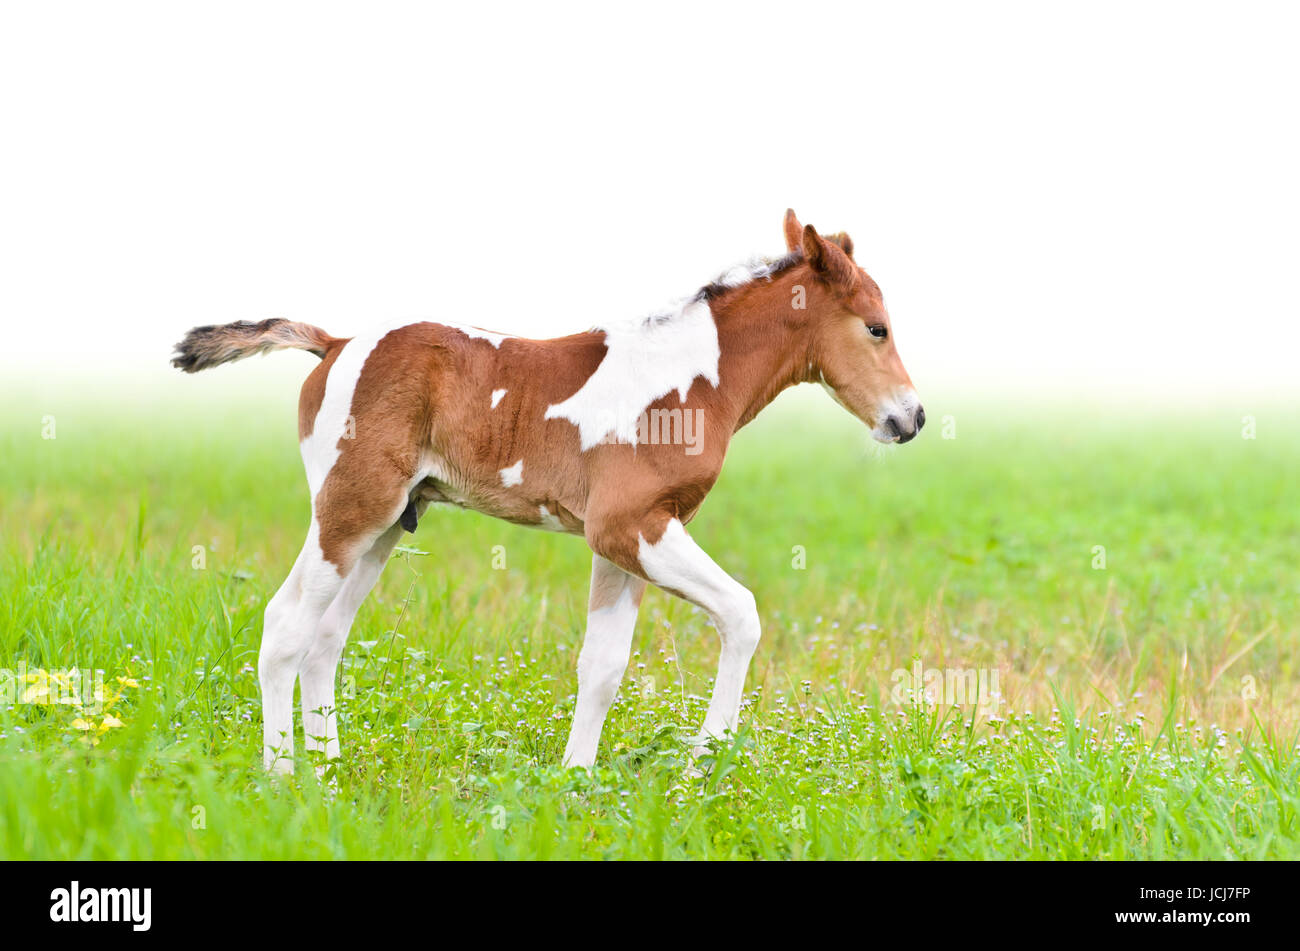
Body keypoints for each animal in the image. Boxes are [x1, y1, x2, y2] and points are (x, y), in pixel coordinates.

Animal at [171, 209, 924, 773]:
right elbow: (741, 613)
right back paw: (285, 779)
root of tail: (334, 344)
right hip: (349, 512)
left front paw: (577, 781)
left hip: (386, 525)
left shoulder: (628, 539)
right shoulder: (629, 526)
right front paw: (701, 765)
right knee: (286, 626)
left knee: (325, 637)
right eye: (876, 327)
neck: (690, 380)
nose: (911, 418)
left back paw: (329, 772)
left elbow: (603, 665)